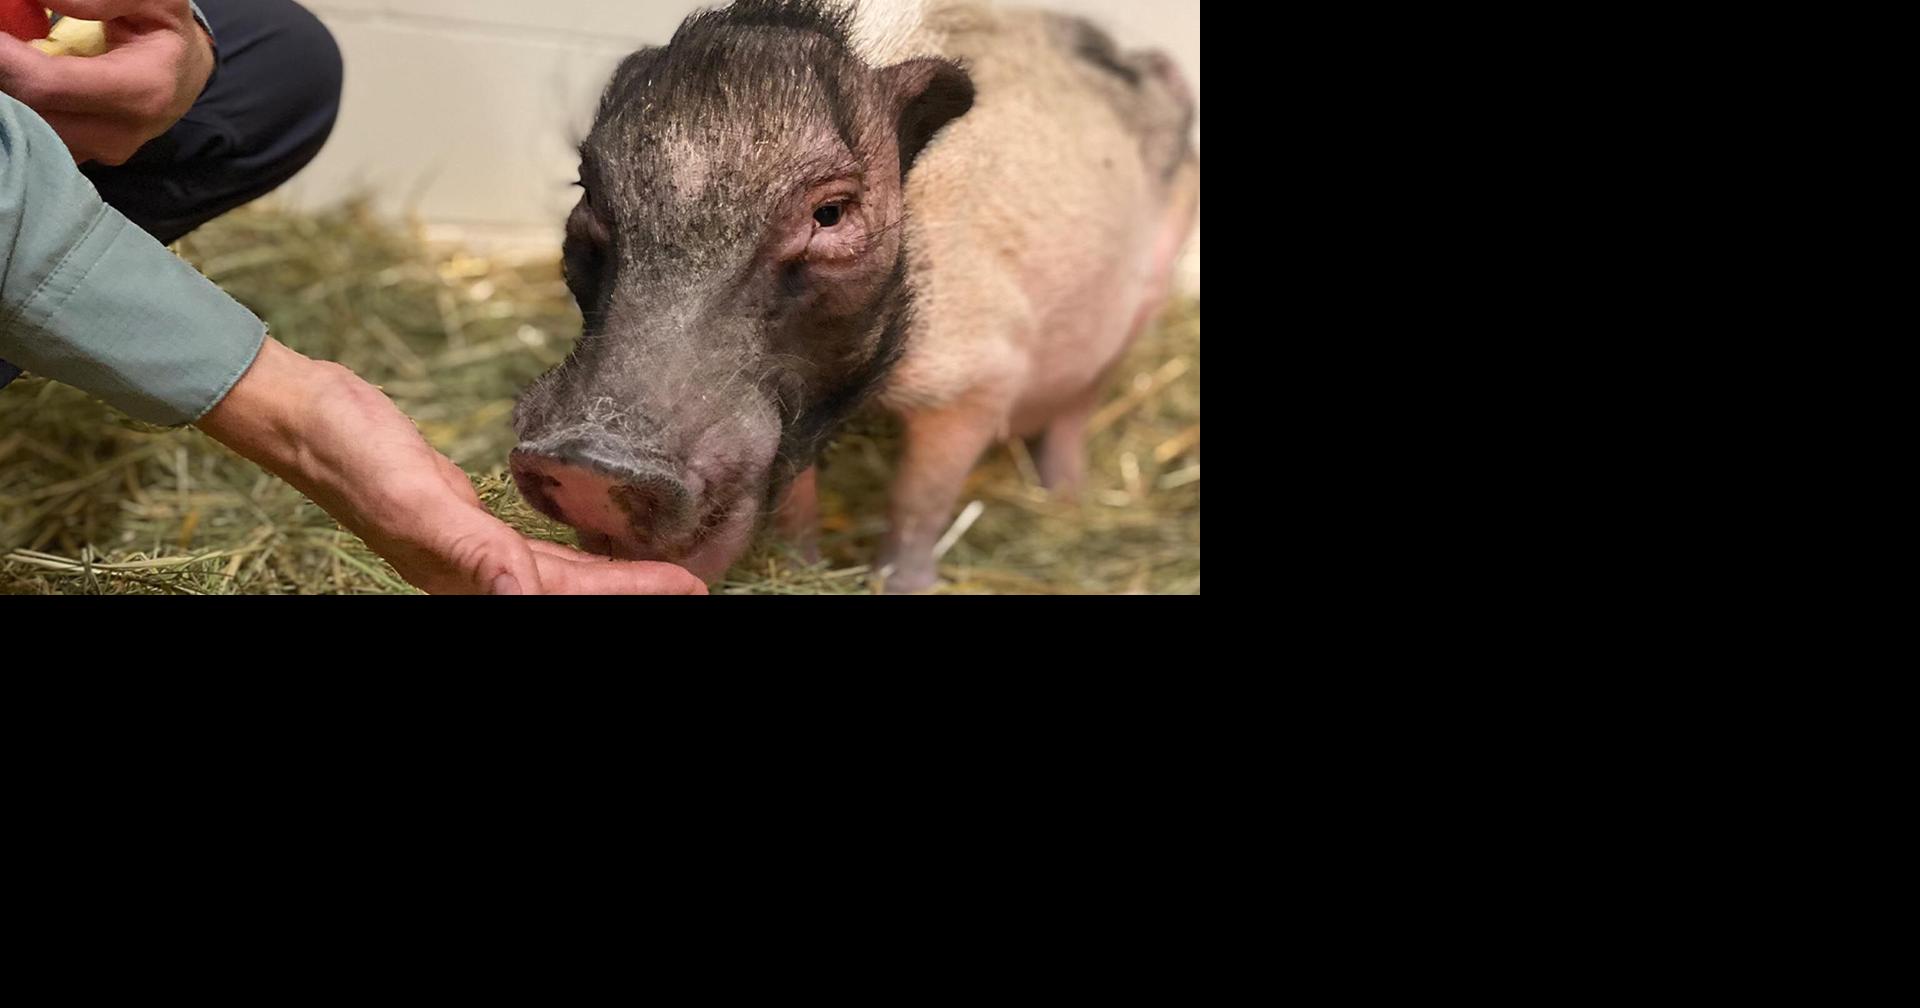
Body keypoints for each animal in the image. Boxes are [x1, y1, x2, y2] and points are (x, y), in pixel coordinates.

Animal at [510, 0, 1199, 592]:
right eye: (589, 194)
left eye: (831, 214)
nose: (585, 462)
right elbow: (796, 501)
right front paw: (801, 568)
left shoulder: (979, 376)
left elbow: (919, 503)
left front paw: (905, 584)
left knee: (1082, 401)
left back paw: (1066, 497)